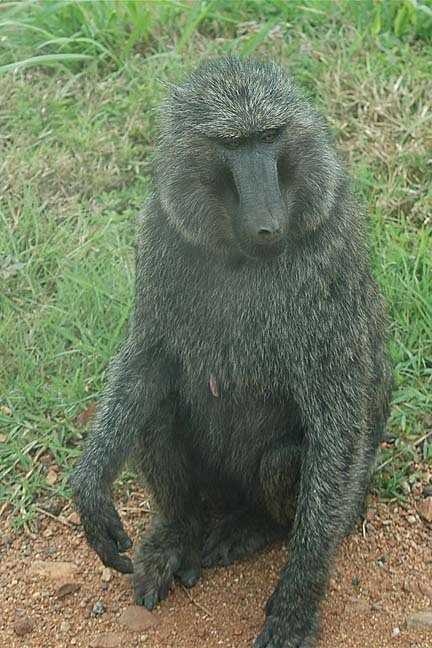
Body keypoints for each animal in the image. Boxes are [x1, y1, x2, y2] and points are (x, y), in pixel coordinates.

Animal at [70, 57, 392, 648]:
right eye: (234, 144)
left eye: (270, 137)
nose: (268, 224)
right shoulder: (162, 228)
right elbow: (148, 357)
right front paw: (91, 484)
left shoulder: (329, 253)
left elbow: (336, 421)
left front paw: (295, 603)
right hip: (210, 484)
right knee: (156, 403)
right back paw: (178, 532)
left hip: (334, 493)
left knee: (288, 462)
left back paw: (255, 527)